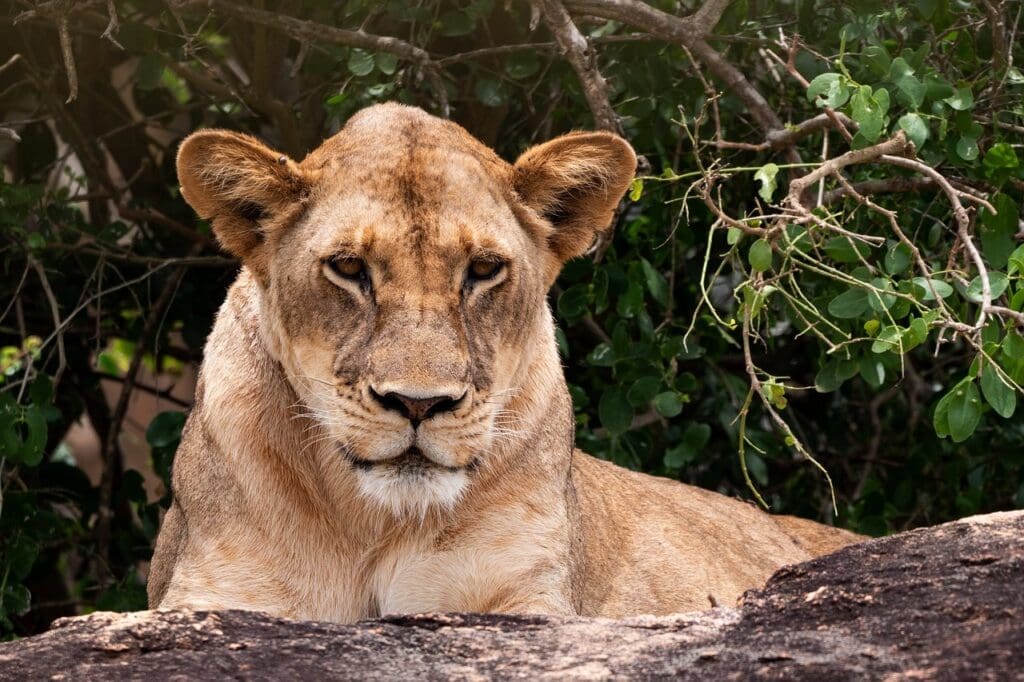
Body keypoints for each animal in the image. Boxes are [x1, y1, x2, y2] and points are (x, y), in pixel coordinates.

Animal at [148, 103, 862, 620]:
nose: (419, 404)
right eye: (348, 269)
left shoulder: (529, 600)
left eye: (484, 270)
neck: (375, 524)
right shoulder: (214, 596)